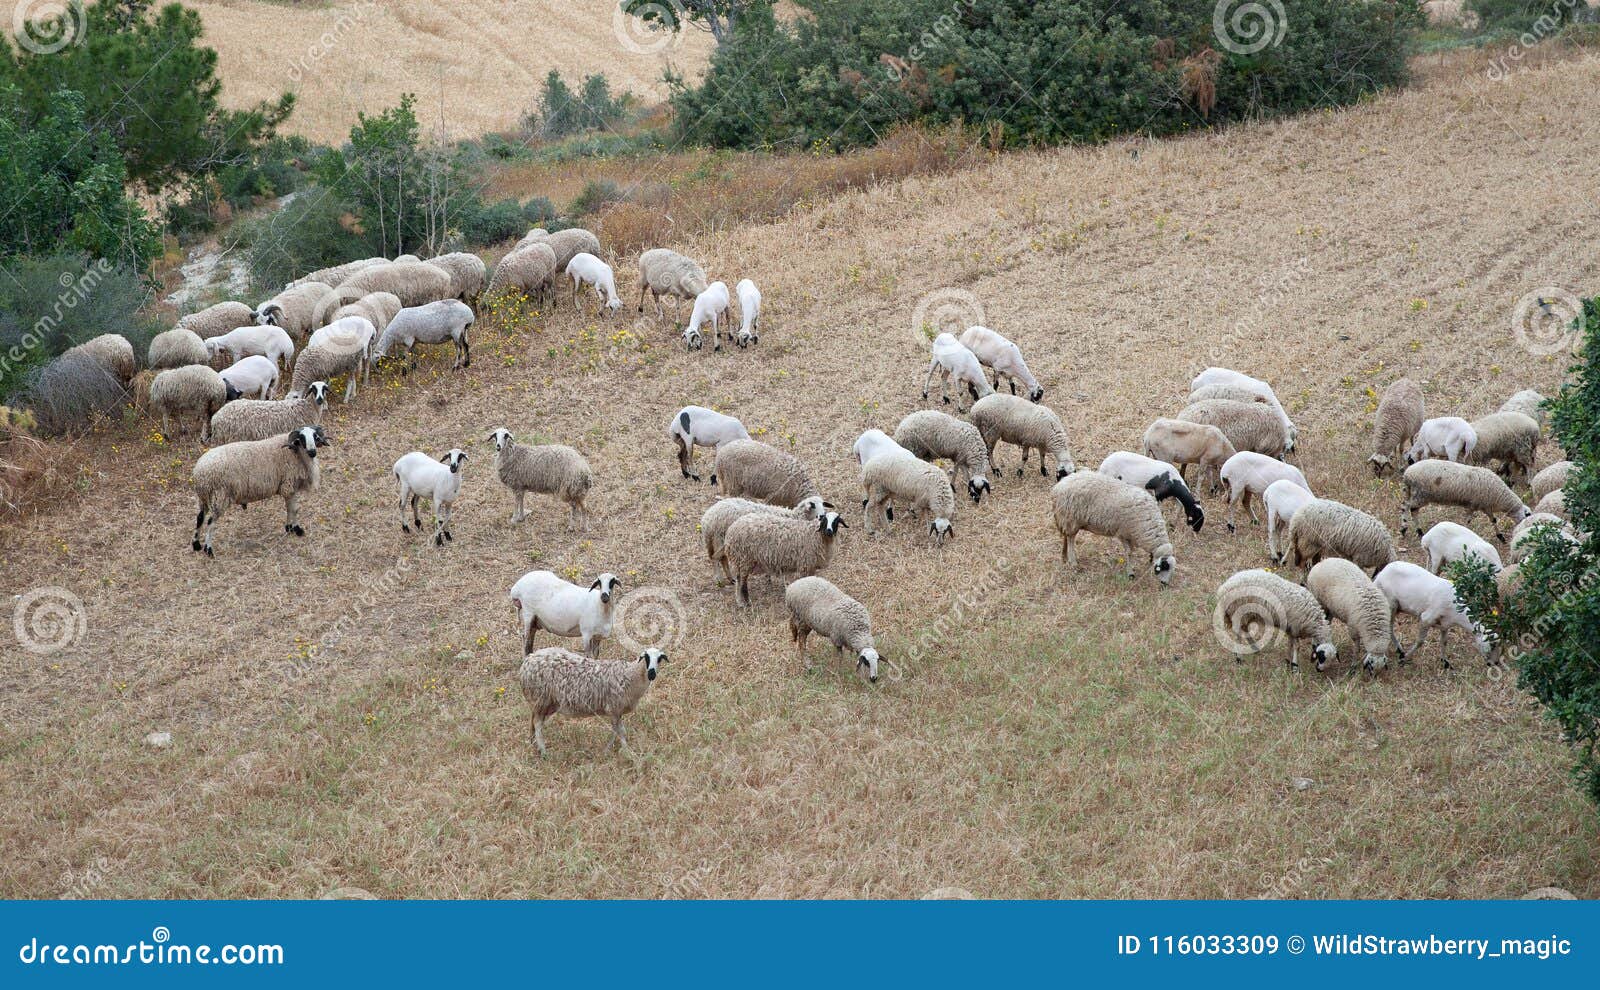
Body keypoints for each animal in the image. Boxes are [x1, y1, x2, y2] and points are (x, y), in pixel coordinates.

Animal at [190, 425, 327, 556]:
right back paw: (208, 550)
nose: (312, 452)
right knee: (210, 522)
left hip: (204, 497)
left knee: (200, 517)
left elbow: (289, 509)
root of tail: (199, 472)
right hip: (219, 496)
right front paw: (297, 529)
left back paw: (196, 545)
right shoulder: (289, 485)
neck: (295, 452)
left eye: (315, 436)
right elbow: (294, 509)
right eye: (302, 438)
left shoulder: (288, 488)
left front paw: (289, 528)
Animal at [517, 646, 665, 758]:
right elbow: (620, 731)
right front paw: (625, 752)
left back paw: (532, 742)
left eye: (659, 659)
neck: (630, 675)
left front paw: (611, 750)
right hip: (542, 698)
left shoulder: (616, 711)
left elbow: (617, 730)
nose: (652, 674)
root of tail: (528, 660)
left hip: (544, 703)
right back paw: (543, 752)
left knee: (534, 720)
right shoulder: (614, 708)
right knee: (537, 723)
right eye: (646, 657)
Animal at [700, 496, 830, 584]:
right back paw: (719, 579)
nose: (822, 516)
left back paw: (730, 578)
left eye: (823, 505)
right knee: (716, 558)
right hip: (720, 539)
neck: (795, 516)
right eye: (813, 505)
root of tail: (707, 519)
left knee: (722, 558)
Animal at [1399, 459, 1531, 541]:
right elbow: (1468, 521)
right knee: (1406, 506)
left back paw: (1419, 531)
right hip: (1421, 495)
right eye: (1528, 514)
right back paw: (1404, 528)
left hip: (1416, 494)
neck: (1501, 497)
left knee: (1412, 509)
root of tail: (1407, 474)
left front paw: (1500, 536)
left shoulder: (1485, 506)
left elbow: (1493, 520)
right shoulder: (1473, 505)